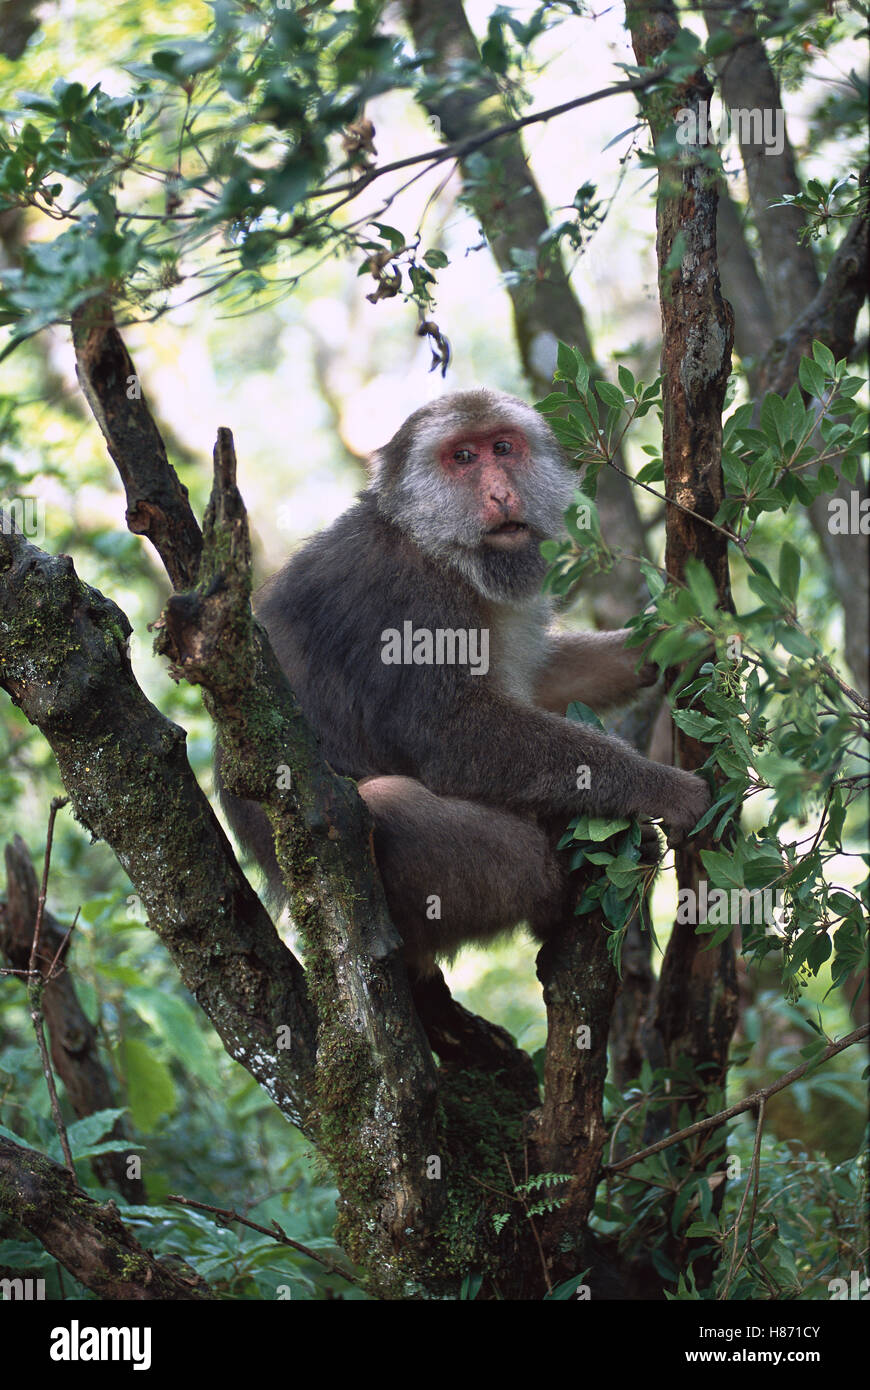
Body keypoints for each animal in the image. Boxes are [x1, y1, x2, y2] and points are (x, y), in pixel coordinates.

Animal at [218, 388, 710, 976]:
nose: (501, 494)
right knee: (383, 803)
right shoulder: (409, 600)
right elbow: (448, 734)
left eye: (502, 448)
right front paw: (666, 788)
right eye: (463, 458)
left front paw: (664, 643)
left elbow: (538, 681)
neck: (440, 552)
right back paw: (557, 888)